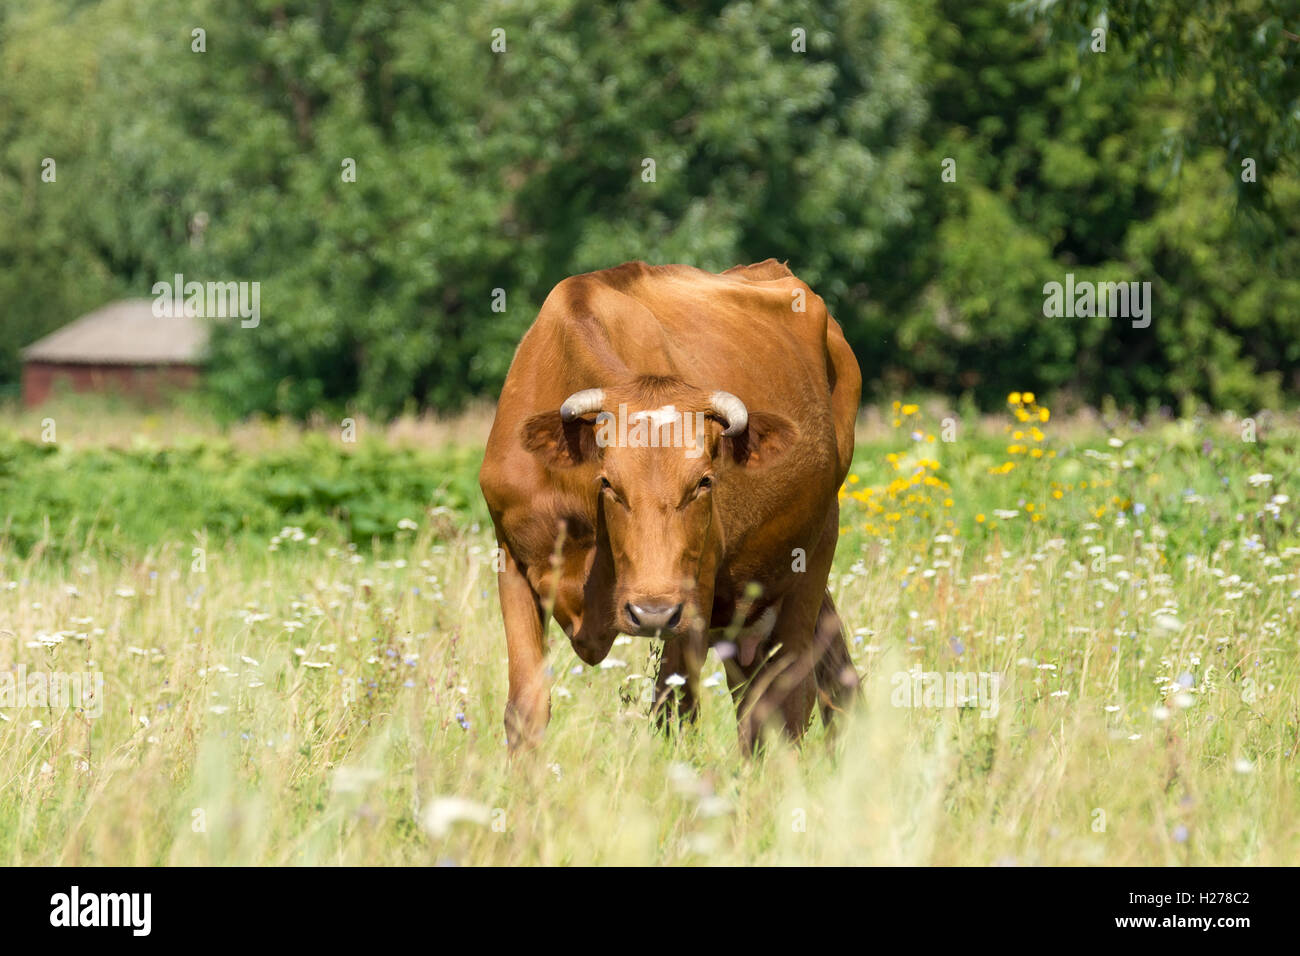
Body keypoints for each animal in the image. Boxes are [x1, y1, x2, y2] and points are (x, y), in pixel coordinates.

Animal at [479, 259, 861, 754]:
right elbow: (525, 710)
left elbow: (675, 713)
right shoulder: (511, 560)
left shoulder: (692, 596)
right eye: (608, 482)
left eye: (704, 482)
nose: (652, 612)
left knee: (790, 693)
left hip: (812, 555)